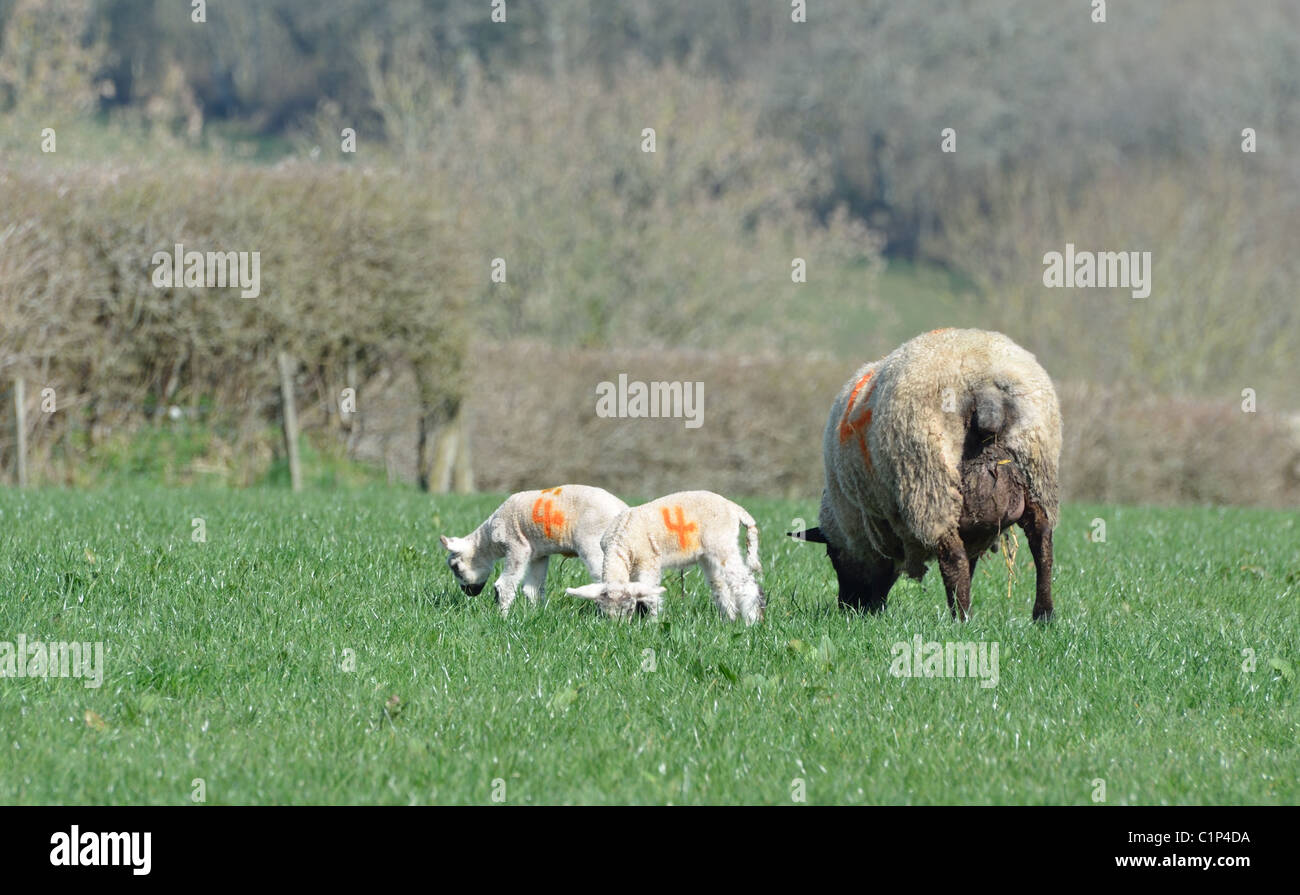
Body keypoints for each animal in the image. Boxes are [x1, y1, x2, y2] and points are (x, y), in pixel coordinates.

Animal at [439, 484, 628, 615]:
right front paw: (536, 613)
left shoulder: (517, 546)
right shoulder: (538, 554)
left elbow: (505, 585)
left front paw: (502, 617)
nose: (468, 592)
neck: (490, 541)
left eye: (455, 567)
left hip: (594, 544)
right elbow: (533, 588)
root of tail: (624, 510)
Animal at [565, 490, 764, 624]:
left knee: (744, 582)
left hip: (723, 544)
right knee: (720, 586)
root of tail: (734, 508)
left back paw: (751, 621)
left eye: (628, 609)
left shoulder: (649, 561)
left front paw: (653, 624)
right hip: (708, 555)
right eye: (604, 610)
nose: (618, 628)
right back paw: (728, 620)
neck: (619, 545)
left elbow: (650, 593)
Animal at [791, 328, 1062, 621]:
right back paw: (1043, 615)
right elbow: (971, 563)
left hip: (929, 484)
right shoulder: (974, 528)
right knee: (1042, 542)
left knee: (953, 557)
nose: (848, 607)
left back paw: (961, 619)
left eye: (832, 554)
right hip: (1036, 472)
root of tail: (986, 387)